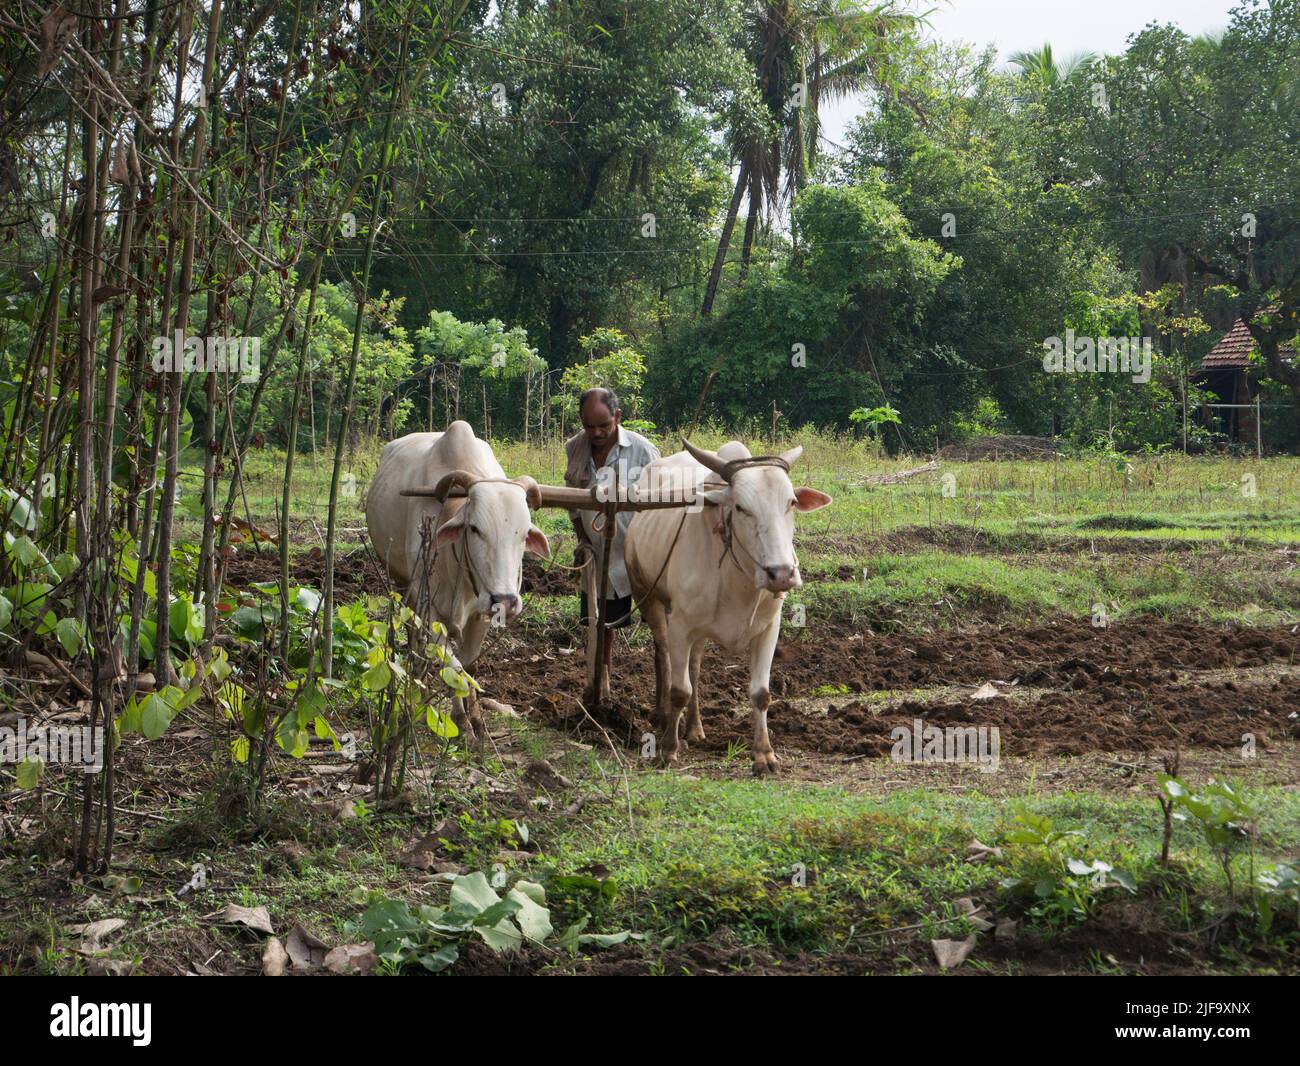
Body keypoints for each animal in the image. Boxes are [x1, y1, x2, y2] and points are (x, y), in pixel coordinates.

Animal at [365, 420, 550, 740]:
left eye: (525, 532)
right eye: (474, 528)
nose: (506, 600)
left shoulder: (481, 615)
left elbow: (468, 666)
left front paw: (476, 719)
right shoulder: (429, 608)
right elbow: (453, 668)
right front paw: (461, 723)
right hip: (400, 583)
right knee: (414, 637)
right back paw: (416, 679)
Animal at [624, 440, 831, 775]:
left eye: (791, 503)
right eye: (741, 507)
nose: (782, 574)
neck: (739, 580)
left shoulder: (768, 629)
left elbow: (760, 694)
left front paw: (764, 755)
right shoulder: (680, 625)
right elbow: (679, 691)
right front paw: (667, 749)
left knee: (694, 666)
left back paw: (694, 729)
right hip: (649, 598)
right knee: (663, 654)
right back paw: (664, 717)